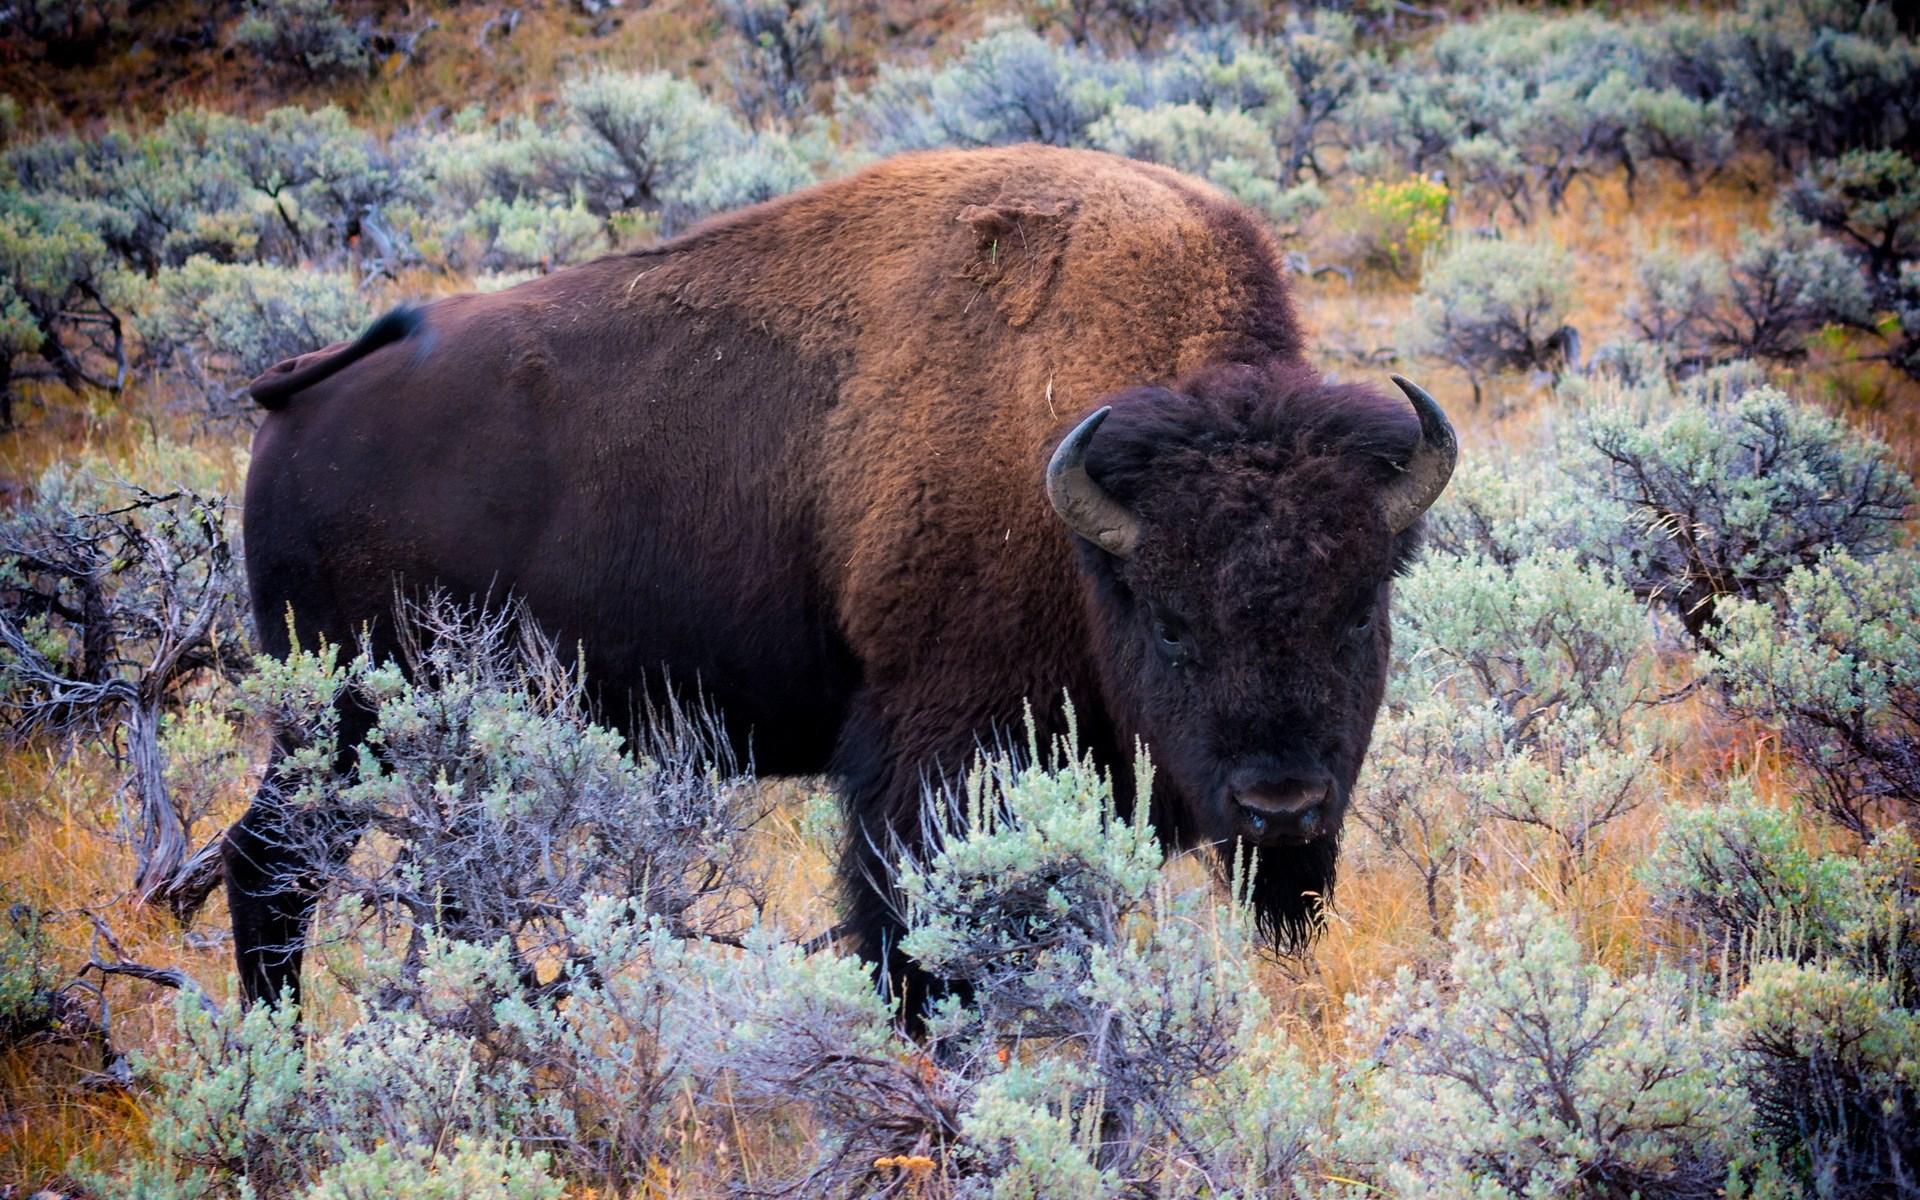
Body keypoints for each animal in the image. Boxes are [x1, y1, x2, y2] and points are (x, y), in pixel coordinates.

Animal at [225, 144, 1457, 1018]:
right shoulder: (929, 757)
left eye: (1359, 610)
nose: (1279, 807)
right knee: (269, 864)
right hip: (348, 717)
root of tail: (304, 395)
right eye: (1169, 625)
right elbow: (911, 943)